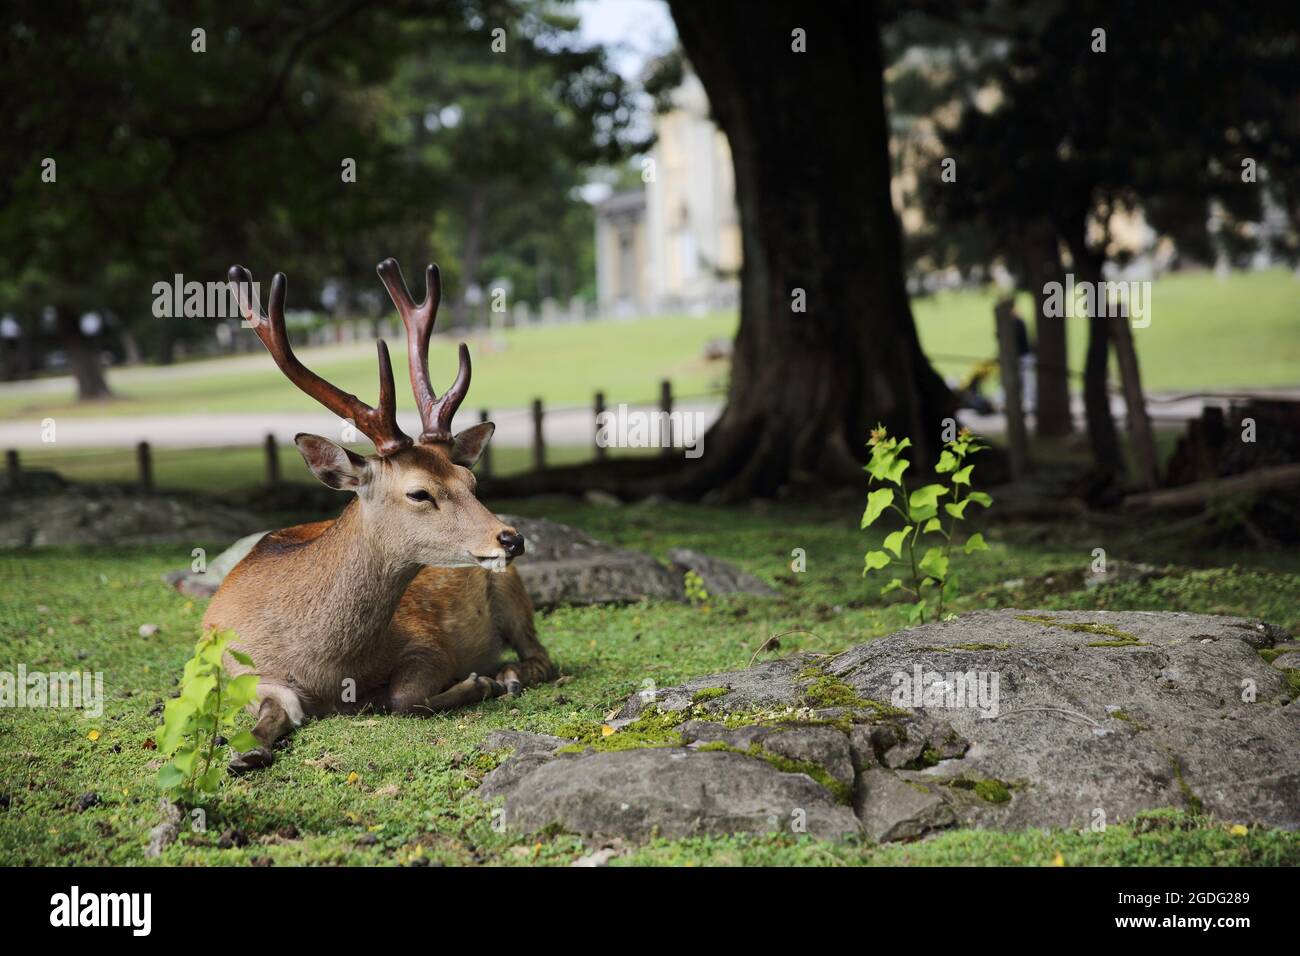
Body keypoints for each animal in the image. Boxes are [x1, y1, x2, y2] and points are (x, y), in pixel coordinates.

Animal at [204, 258, 556, 771]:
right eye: (419, 492)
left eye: (470, 482)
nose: (511, 538)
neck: (329, 668)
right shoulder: (233, 667)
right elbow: (278, 705)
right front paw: (246, 751)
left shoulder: (428, 642)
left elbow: (403, 698)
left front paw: (478, 682)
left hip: (511, 589)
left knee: (540, 653)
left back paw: (508, 675)